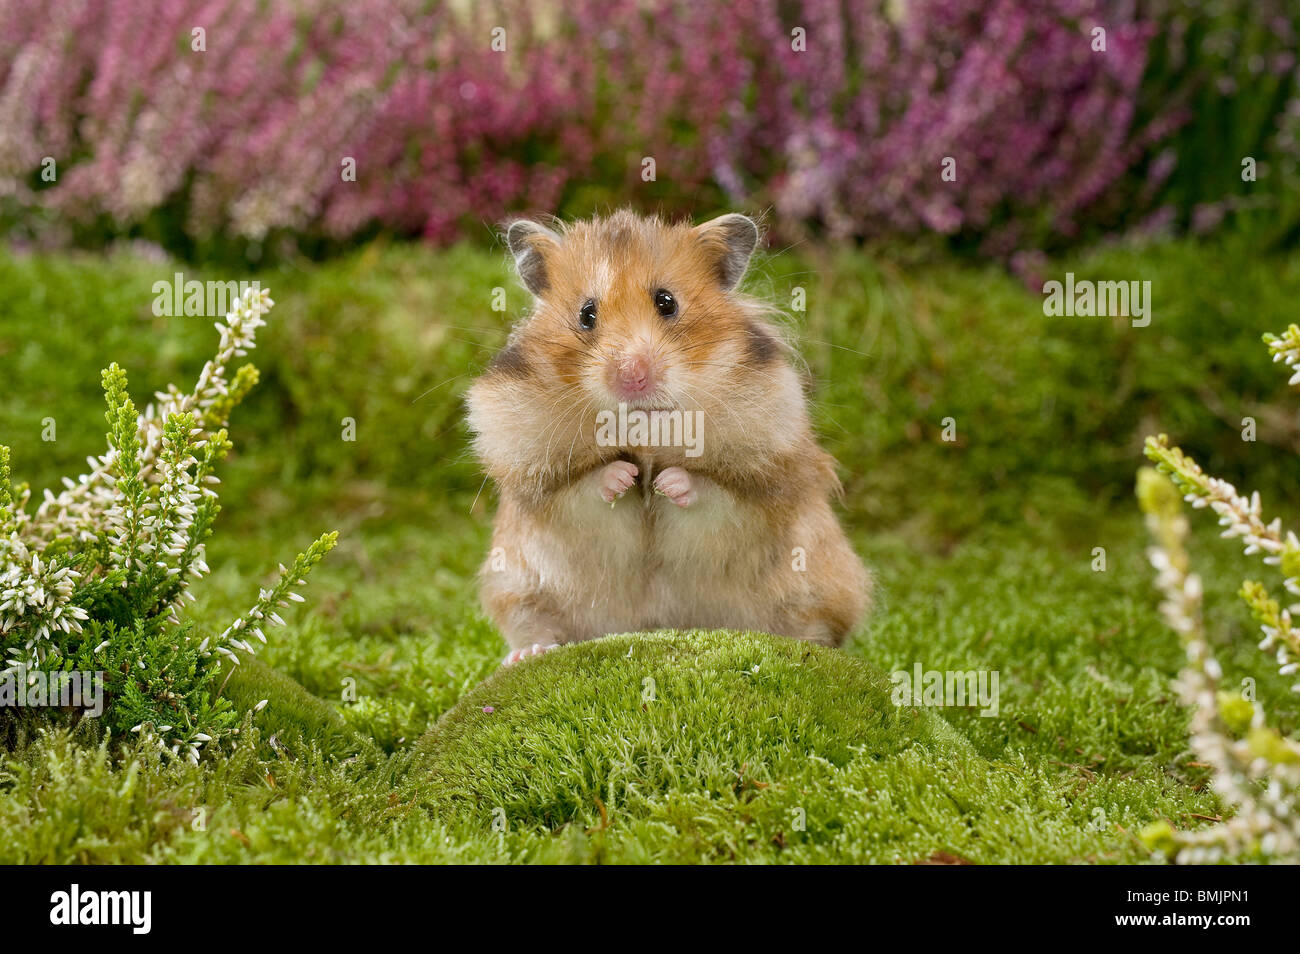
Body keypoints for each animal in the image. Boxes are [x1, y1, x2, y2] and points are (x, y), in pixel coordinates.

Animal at [466, 210, 871, 664]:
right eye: (586, 314)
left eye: (667, 302)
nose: (632, 377)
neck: (645, 433)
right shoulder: (538, 482)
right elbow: (586, 485)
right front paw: (626, 477)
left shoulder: (764, 482)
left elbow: (711, 491)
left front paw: (664, 482)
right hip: (515, 583)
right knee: (533, 622)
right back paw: (528, 654)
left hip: (822, 583)